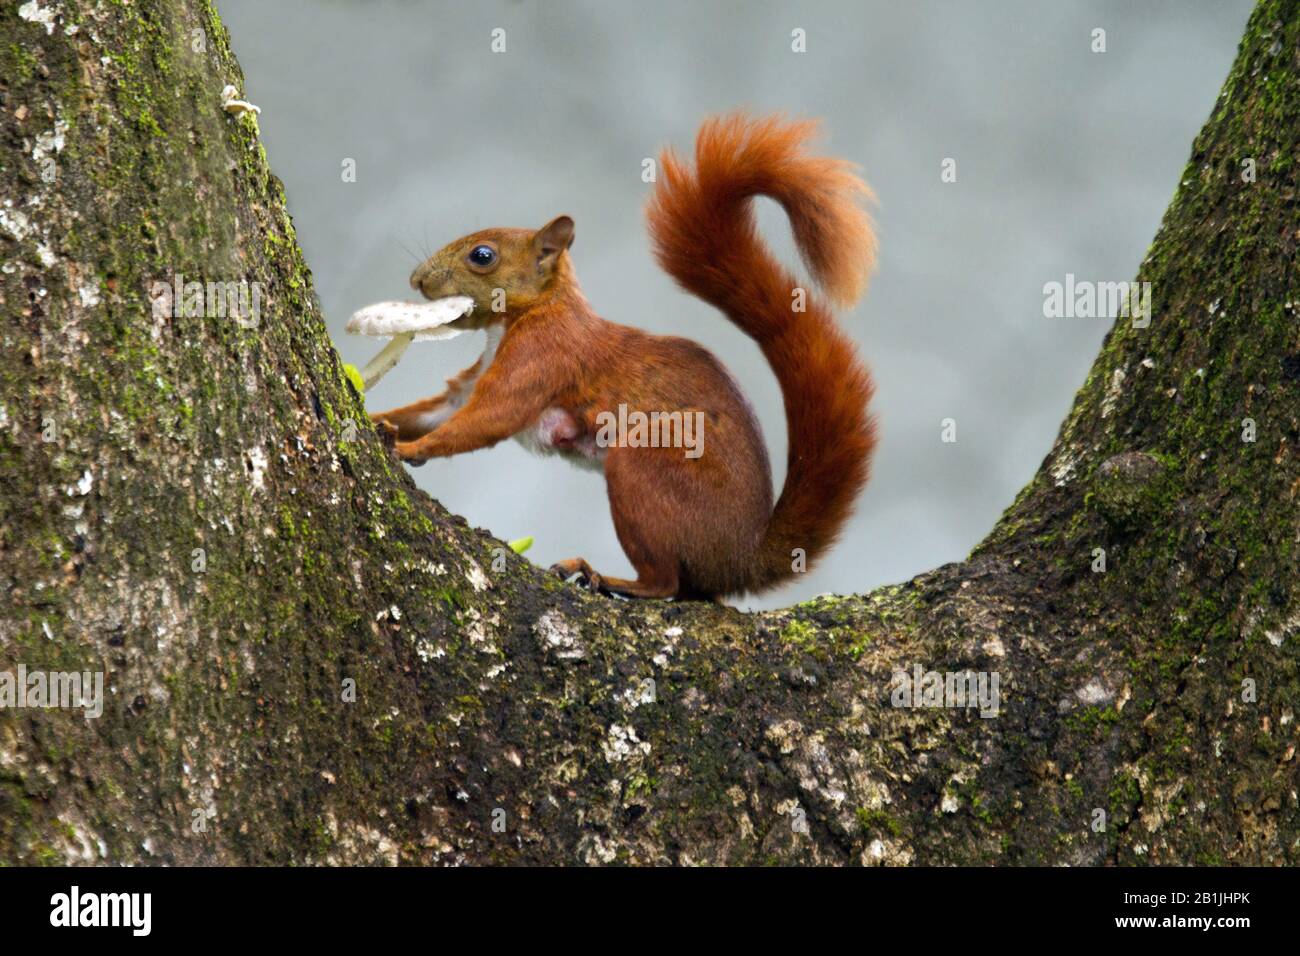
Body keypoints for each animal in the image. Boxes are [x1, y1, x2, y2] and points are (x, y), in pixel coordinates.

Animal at [370, 113, 877, 600]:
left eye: (482, 255)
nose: (417, 280)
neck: (535, 311)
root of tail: (742, 561)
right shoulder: (476, 378)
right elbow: (440, 409)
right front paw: (378, 419)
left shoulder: (542, 357)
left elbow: (487, 418)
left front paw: (409, 449)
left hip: (644, 466)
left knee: (665, 583)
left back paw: (601, 574)